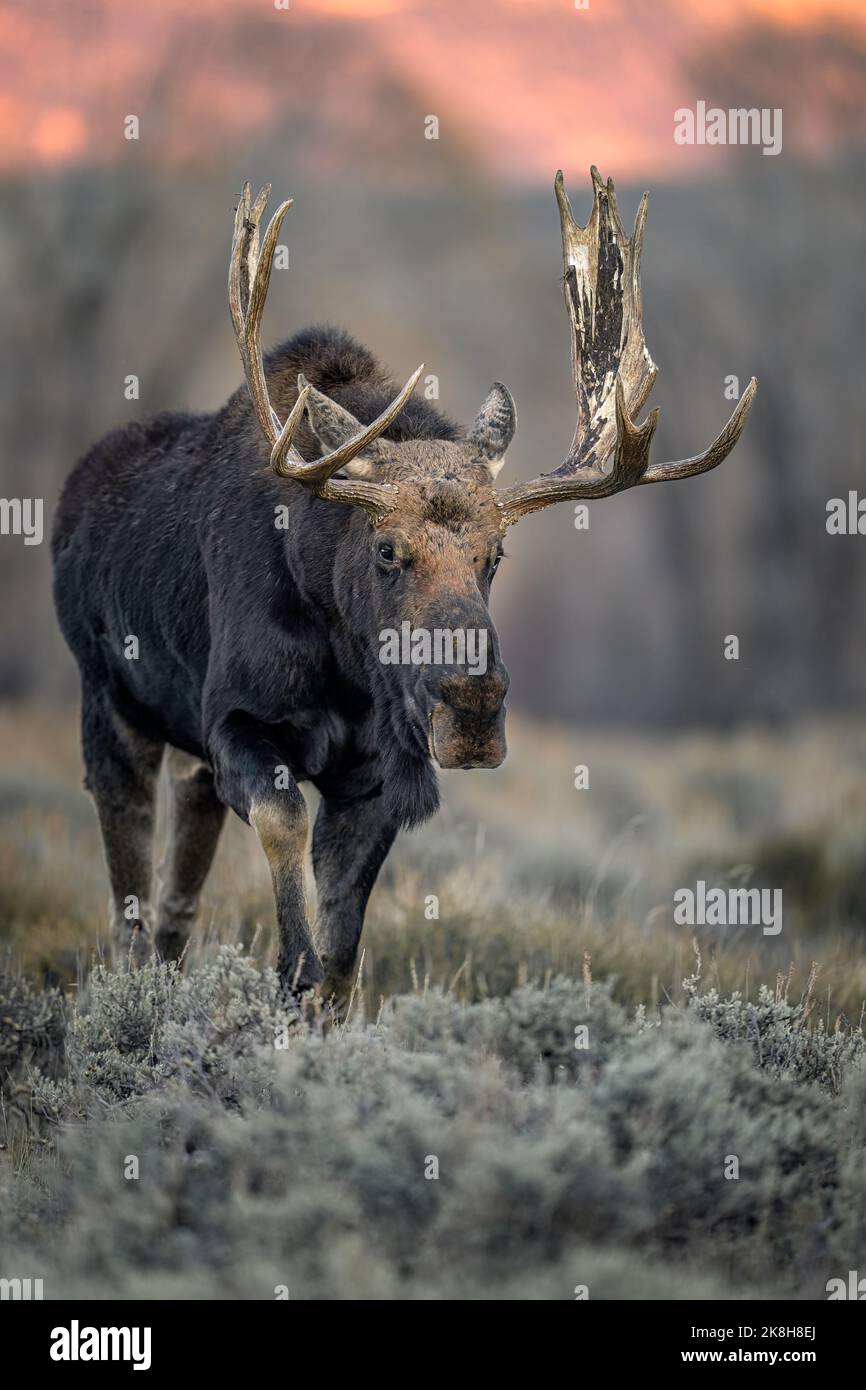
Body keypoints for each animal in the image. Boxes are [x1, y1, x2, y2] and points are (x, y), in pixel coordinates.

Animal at [52, 167, 756, 1008]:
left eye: (496, 554)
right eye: (387, 551)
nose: (475, 708)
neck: (346, 660)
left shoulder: (373, 772)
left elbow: (343, 959)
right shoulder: (239, 720)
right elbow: (289, 861)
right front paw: (286, 976)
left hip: (185, 750)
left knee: (176, 890)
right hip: (111, 704)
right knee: (126, 893)